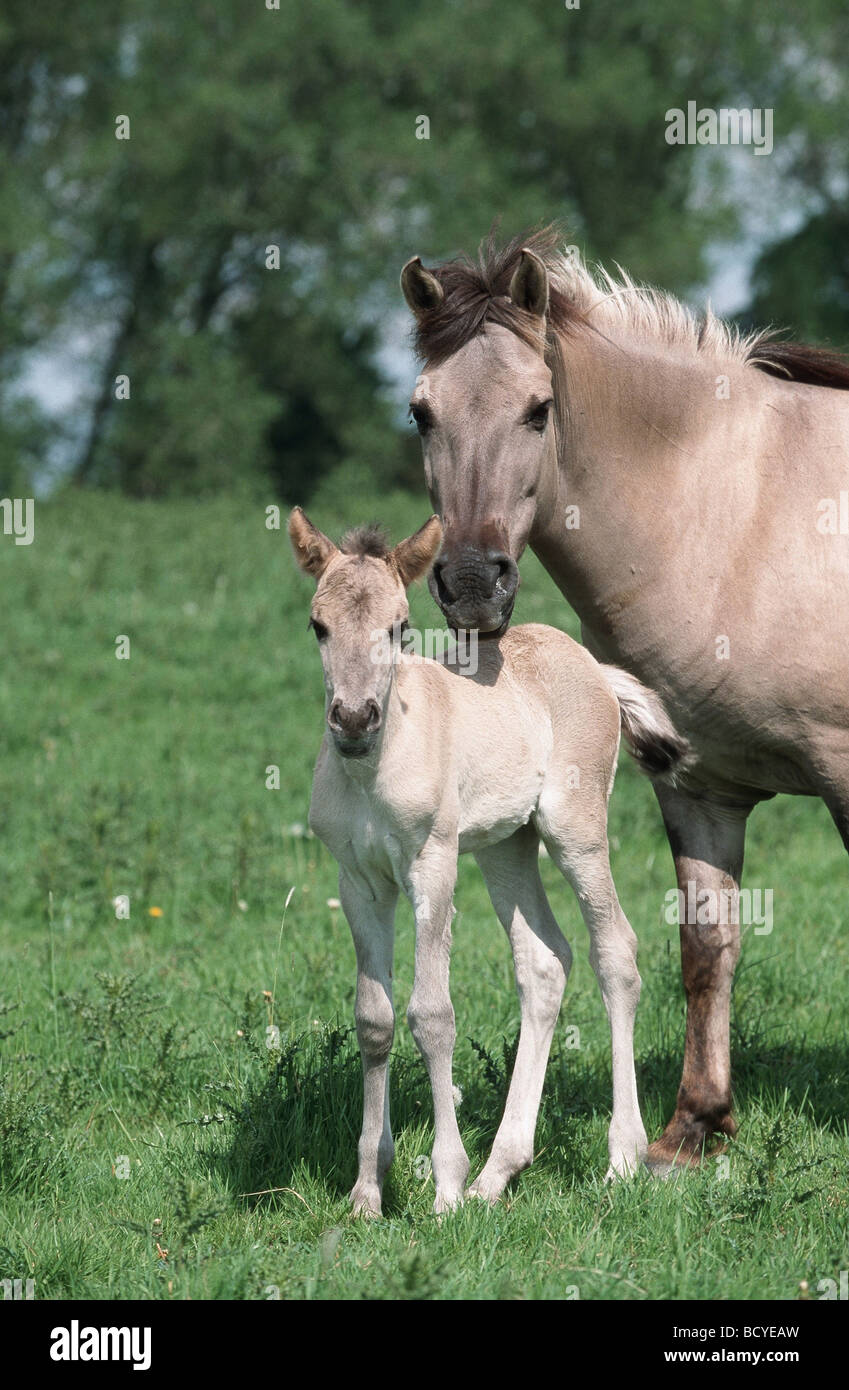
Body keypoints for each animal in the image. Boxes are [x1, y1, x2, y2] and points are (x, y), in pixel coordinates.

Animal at [288, 506, 688, 1213]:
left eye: (397, 628)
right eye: (318, 625)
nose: (355, 721)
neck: (372, 773)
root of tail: (594, 666)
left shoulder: (432, 864)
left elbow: (432, 1014)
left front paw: (445, 1185)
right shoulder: (359, 881)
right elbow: (374, 1019)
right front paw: (367, 1191)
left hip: (574, 829)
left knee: (616, 952)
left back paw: (621, 1157)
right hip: (507, 846)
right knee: (545, 962)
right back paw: (498, 1172)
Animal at [399, 226, 849, 1174]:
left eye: (538, 409)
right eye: (421, 413)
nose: (470, 584)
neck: (739, 513)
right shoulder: (697, 785)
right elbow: (705, 947)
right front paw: (691, 1129)